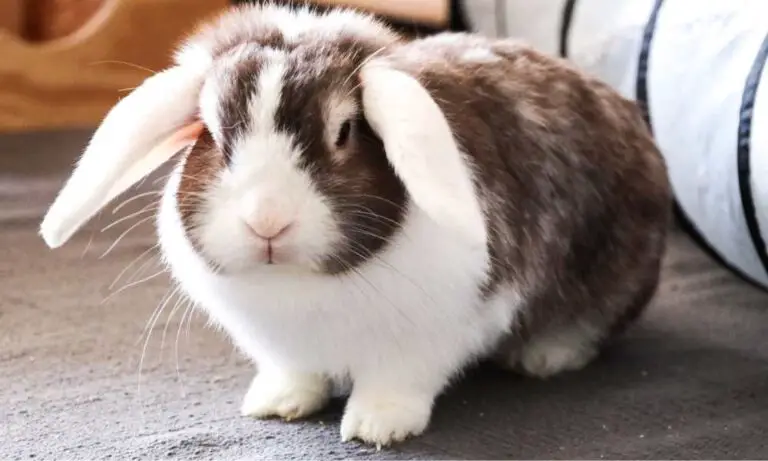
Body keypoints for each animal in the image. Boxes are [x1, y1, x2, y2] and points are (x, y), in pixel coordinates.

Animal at [39, 3, 672, 447]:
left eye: (343, 131)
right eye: (212, 134)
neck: (302, 288)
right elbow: (296, 375)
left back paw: (543, 358)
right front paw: (277, 405)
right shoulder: (284, 348)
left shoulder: (431, 337)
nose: (267, 221)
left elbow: (397, 384)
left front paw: (377, 428)